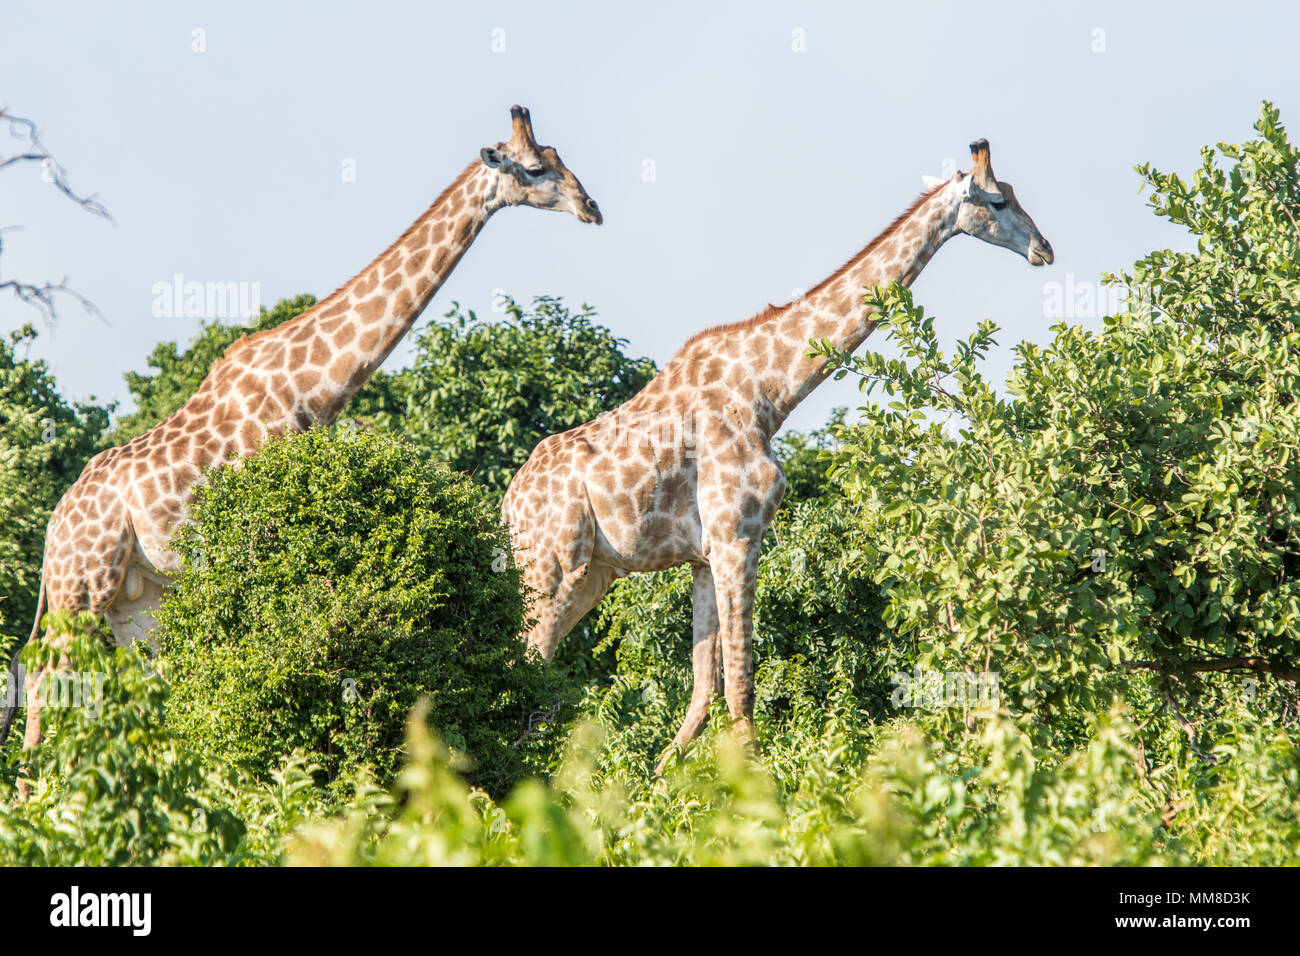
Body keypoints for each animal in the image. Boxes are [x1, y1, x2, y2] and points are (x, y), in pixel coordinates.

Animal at [1, 106, 602, 787]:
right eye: (533, 169)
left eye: (557, 157)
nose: (591, 207)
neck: (313, 386)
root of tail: (52, 529)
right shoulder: (261, 529)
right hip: (84, 583)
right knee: (47, 677)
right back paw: (35, 796)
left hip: (137, 598)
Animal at [502, 139, 1053, 772]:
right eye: (997, 200)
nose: (1044, 249)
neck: (771, 391)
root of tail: (507, 505)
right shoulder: (738, 536)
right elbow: (741, 686)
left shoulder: (704, 554)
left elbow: (703, 690)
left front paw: (661, 782)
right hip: (553, 564)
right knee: (526, 663)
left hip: (595, 571)